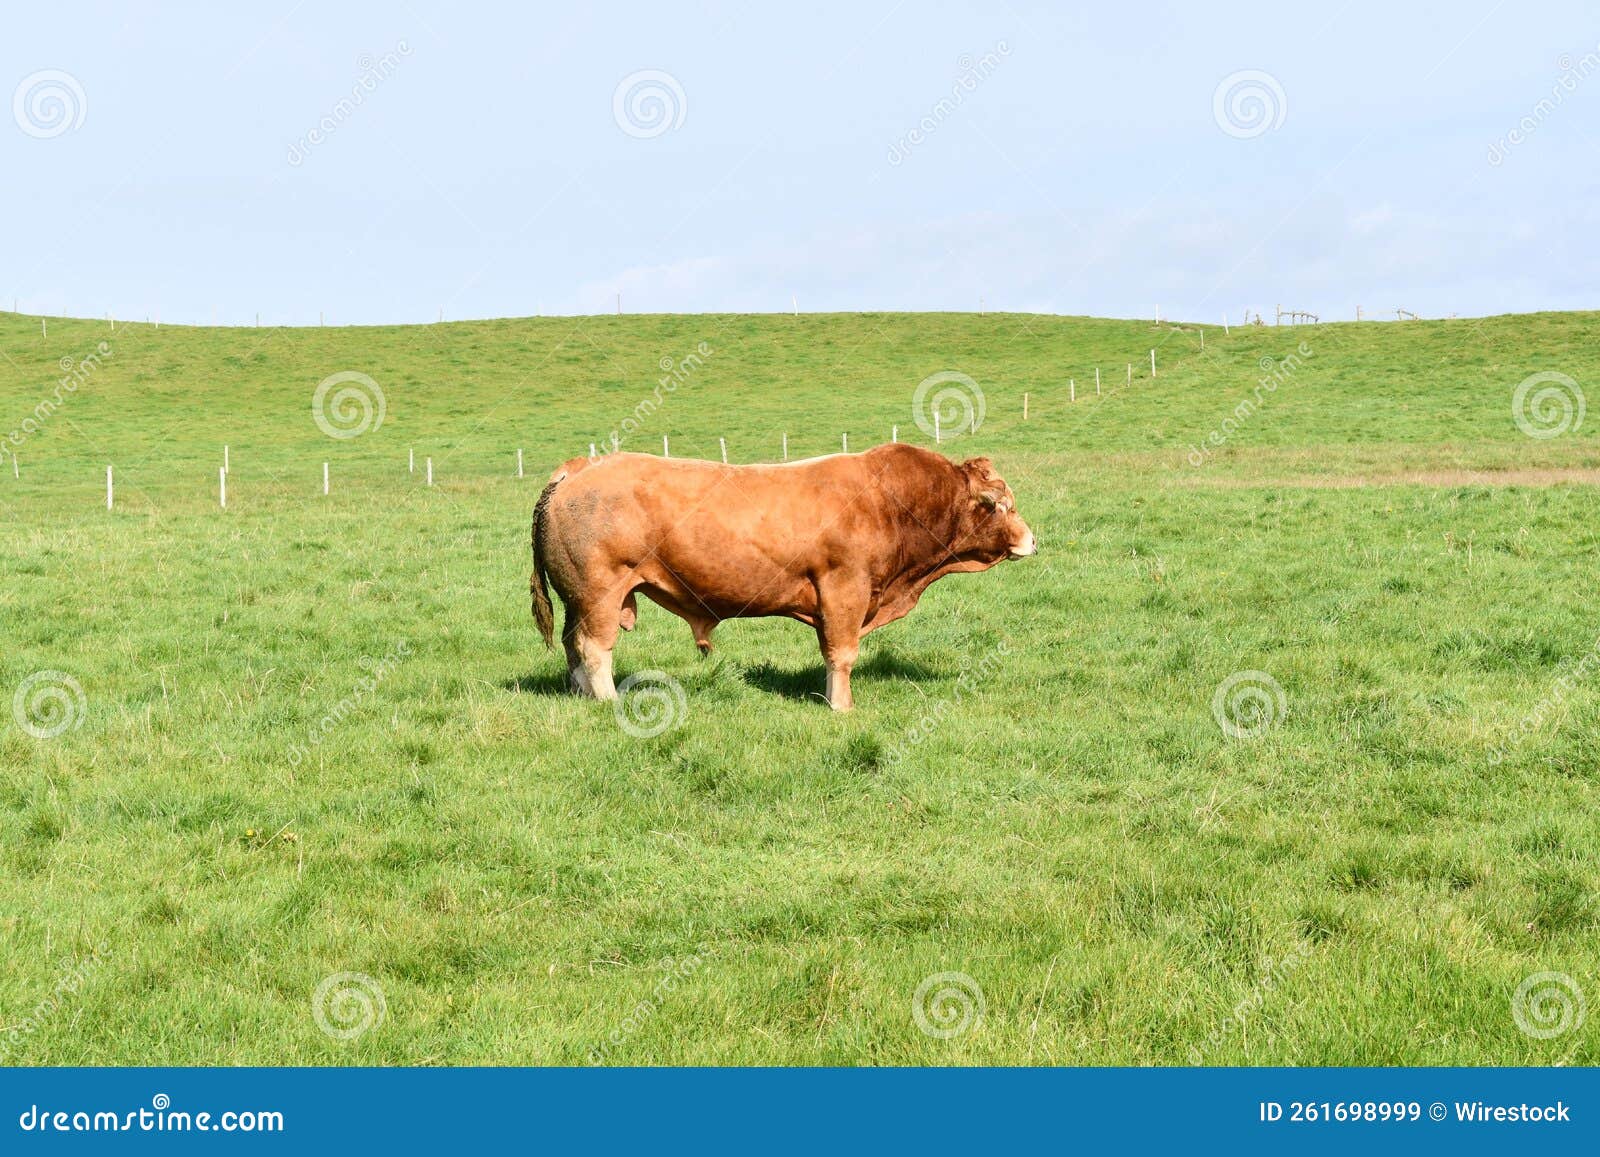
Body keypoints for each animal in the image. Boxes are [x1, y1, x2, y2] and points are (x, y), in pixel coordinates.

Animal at [528, 442, 1036, 711]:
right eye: (1005, 506)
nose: (1033, 539)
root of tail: (580, 467)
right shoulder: (844, 589)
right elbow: (842, 655)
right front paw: (841, 706)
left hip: (578, 596)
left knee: (573, 646)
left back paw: (581, 694)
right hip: (601, 590)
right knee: (595, 648)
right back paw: (608, 700)